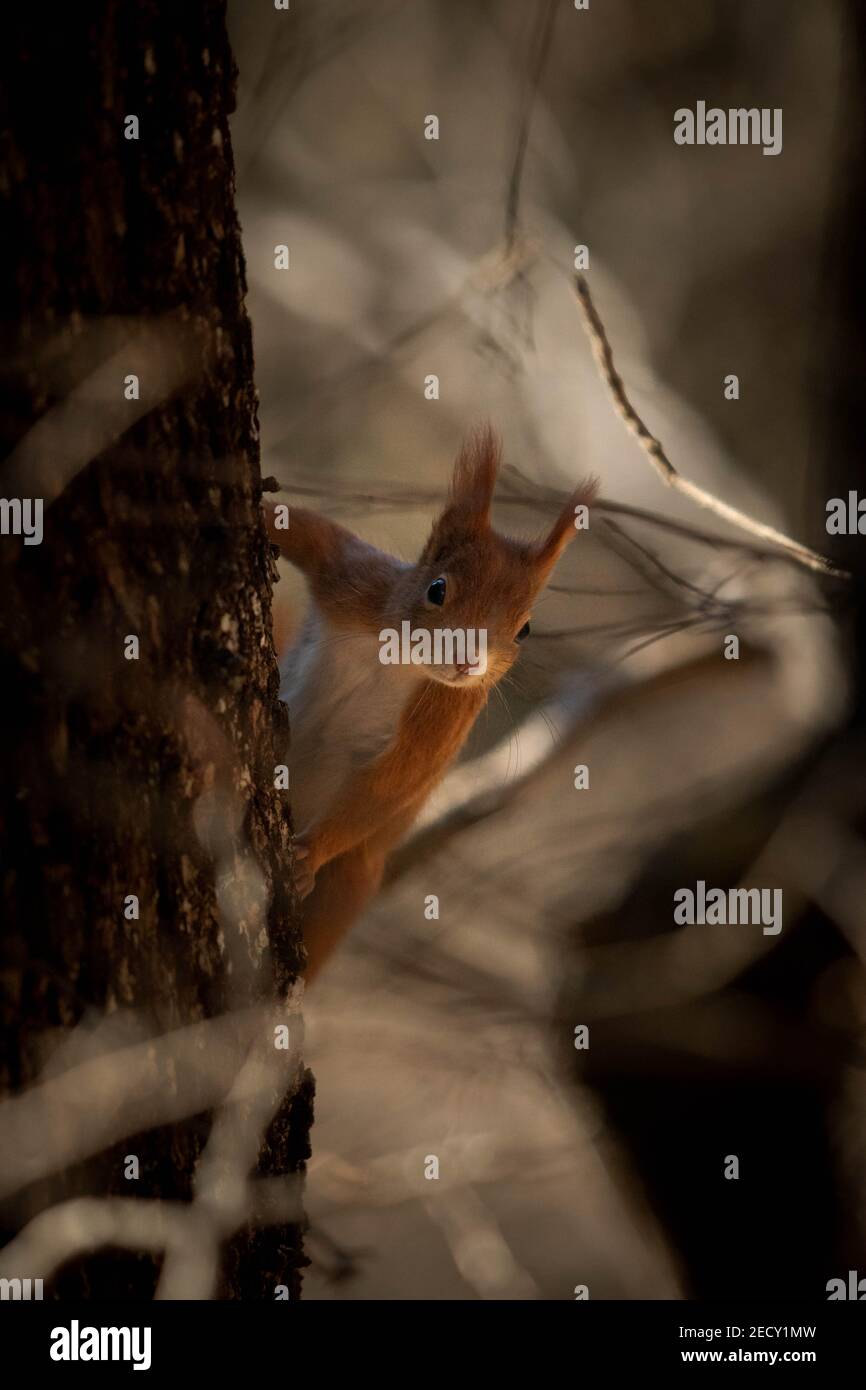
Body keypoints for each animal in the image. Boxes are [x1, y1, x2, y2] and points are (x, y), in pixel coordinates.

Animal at [263, 426, 597, 979]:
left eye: (524, 629)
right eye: (437, 589)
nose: (467, 663)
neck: (398, 661)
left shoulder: (444, 718)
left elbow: (393, 781)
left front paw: (307, 854)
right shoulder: (354, 580)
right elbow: (306, 529)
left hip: (349, 885)